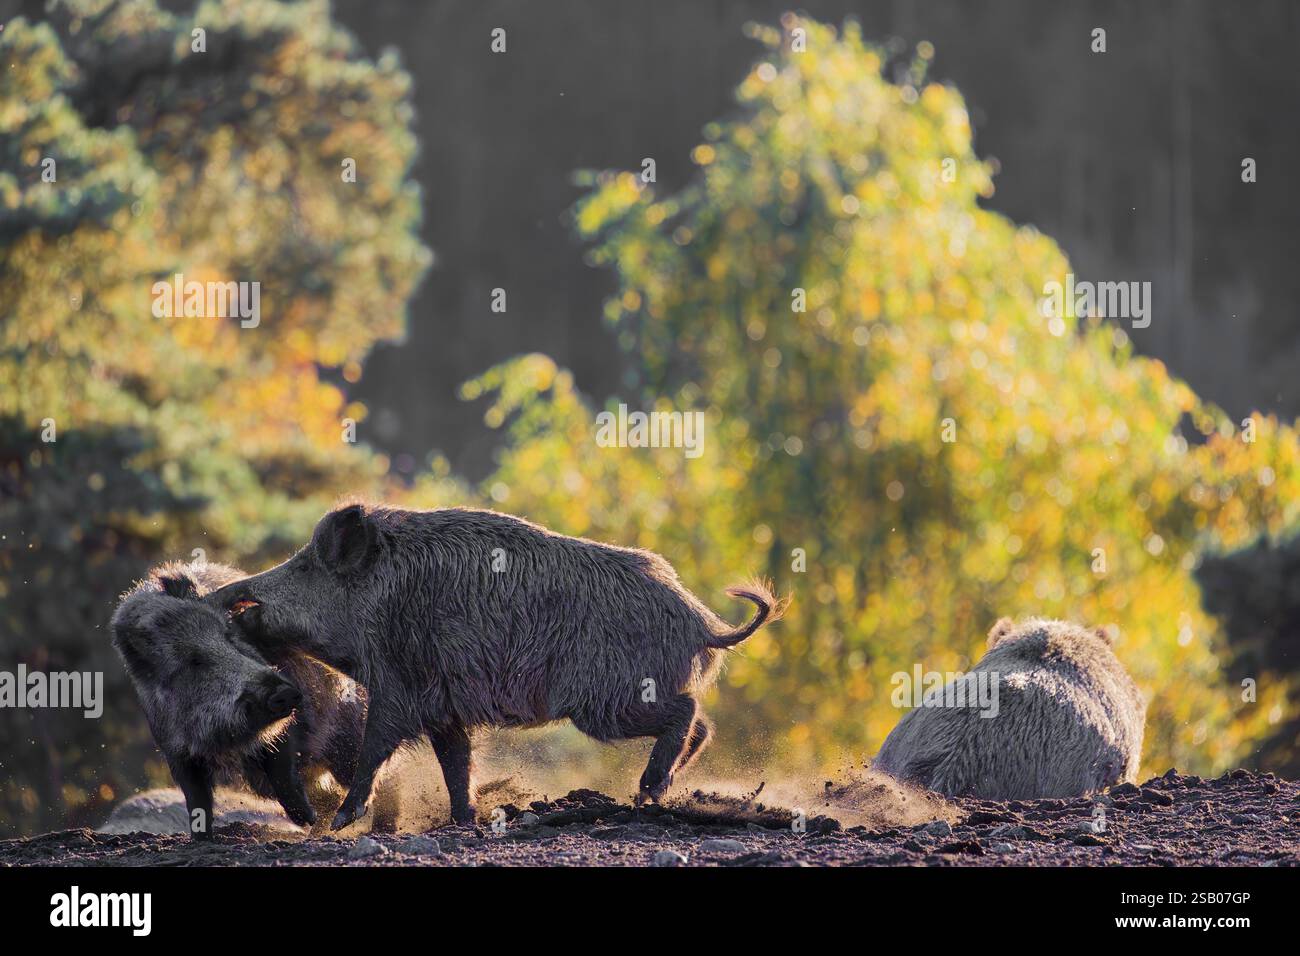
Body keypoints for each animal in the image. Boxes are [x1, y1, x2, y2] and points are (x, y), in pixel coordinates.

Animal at [111, 561, 399, 838]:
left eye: (230, 636)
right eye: (194, 661)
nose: (286, 691)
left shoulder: (291, 727)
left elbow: (281, 768)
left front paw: (305, 818)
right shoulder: (176, 751)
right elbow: (196, 800)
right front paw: (202, 839)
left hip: (346, 737)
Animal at [204, 504, 785, 829]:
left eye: (306, 566)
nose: (223, 598)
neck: (379, 599)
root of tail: (702, 621)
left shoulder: (400, 685)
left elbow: (375, 749)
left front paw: (342, 822)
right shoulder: (442, 707)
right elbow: (456, 761)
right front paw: (463, 821)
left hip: (606, 702)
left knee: (686, 711)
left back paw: (648, 790)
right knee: (702, 721)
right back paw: (657, 792)